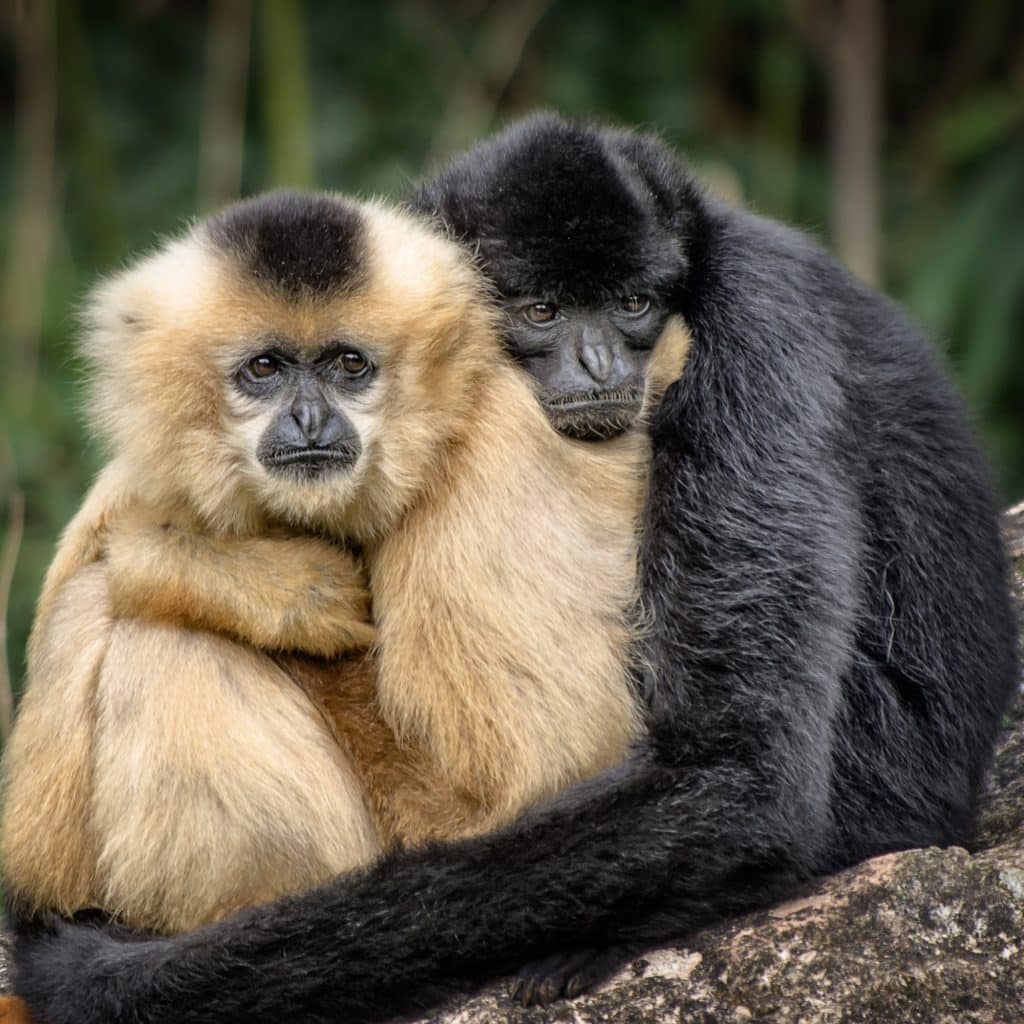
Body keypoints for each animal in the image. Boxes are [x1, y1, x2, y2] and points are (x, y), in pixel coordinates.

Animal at [1, 189, 689, 941]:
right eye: (265, 369)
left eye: (348, 365)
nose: (308, 419)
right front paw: (278, 583)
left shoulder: (494, 452)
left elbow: (522, 788)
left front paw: (190, 562)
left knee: (149, 632)